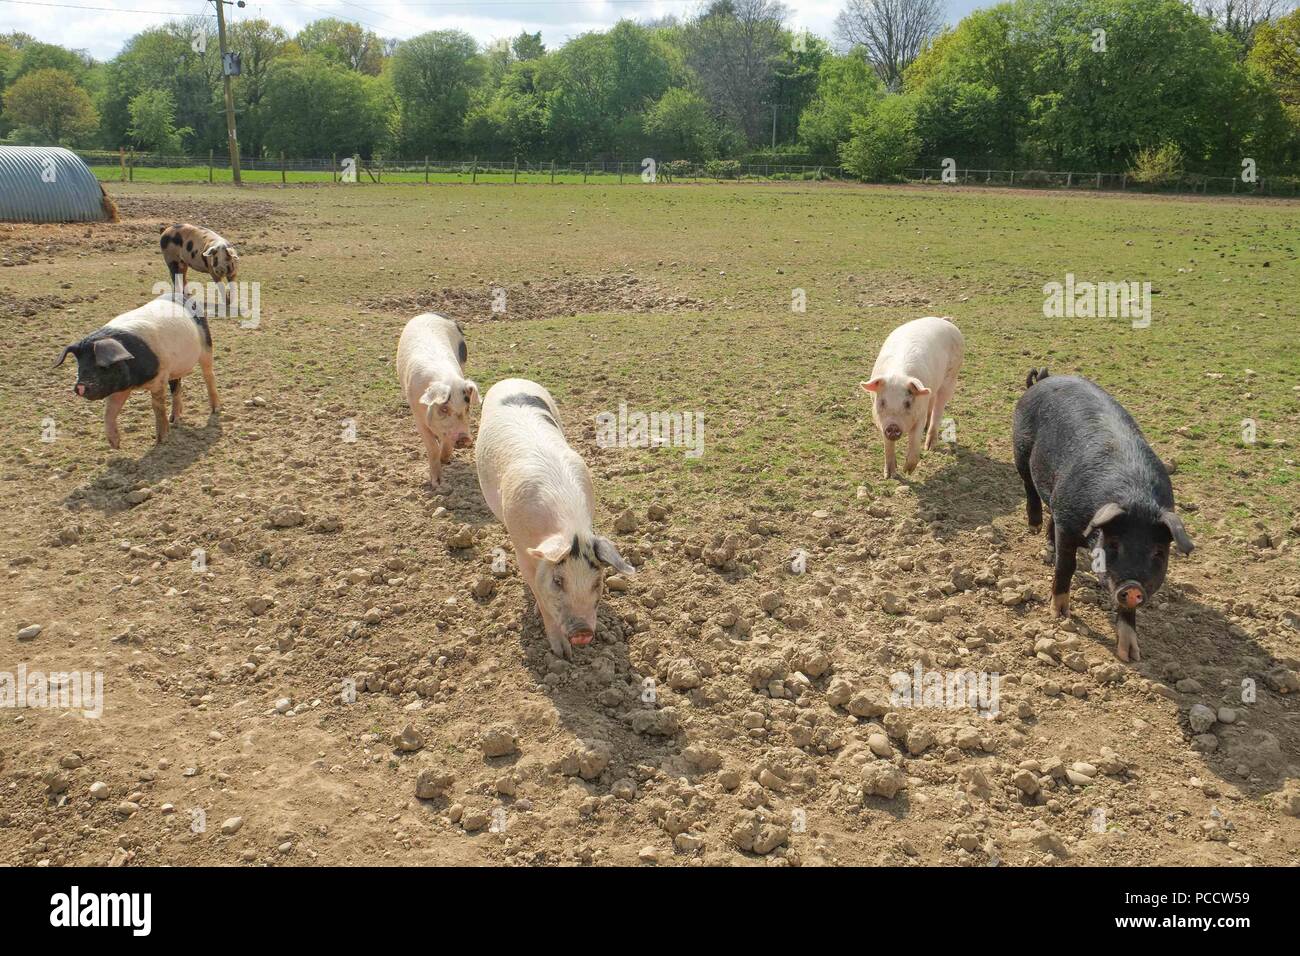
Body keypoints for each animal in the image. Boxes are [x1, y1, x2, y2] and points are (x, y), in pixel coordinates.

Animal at [54, 294, 220, 449]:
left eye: (103, 367)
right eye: (80, 366)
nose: (80, 386)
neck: (136, 381)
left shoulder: (160, 377)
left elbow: (157, 407)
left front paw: (161, 441)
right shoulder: (119, 388)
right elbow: (110, 411)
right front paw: (115, 445)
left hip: (206, 344)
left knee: (208, 375)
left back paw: (215, 409)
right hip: (176, 368)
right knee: (177, 386)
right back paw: (174, 419)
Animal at [396, 313, 478, 489]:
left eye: (467, 408)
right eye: (444, 408)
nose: (465, 438)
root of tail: (429, 313)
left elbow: (445, 441)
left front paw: (445, 459)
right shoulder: (417, 415)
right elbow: (432, 447)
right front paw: (437, 484)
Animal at [476, 378, 635, 659]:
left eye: (597, 581)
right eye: (558, 581)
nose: (582, 633)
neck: (570, 526)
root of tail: (512, 379)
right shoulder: (522, 547)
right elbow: (538, 593)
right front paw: (562, 654)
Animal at [860, 316, 963, 478]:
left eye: (908, 403)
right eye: (882, 402)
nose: (893, 426)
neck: (898, 375)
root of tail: (944, 320)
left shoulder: (919, 413)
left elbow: (915, 441)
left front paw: (907, 471)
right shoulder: (880, 419)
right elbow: (888, 444)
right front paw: (889, 475)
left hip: (952, 377)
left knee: (938, 409)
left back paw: (929, 446)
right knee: (932, 401)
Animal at [1013, 368, 1194, 662]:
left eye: (1159, 552)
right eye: (1114, 544)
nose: (1132, 587)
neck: (1136, 498)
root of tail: (1043, 380)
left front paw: (1130, 655)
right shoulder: (1069, 523)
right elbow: (1066, 566)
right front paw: (1060, 615)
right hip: (1020, 447)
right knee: (1030, 487)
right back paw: (1034, 528)